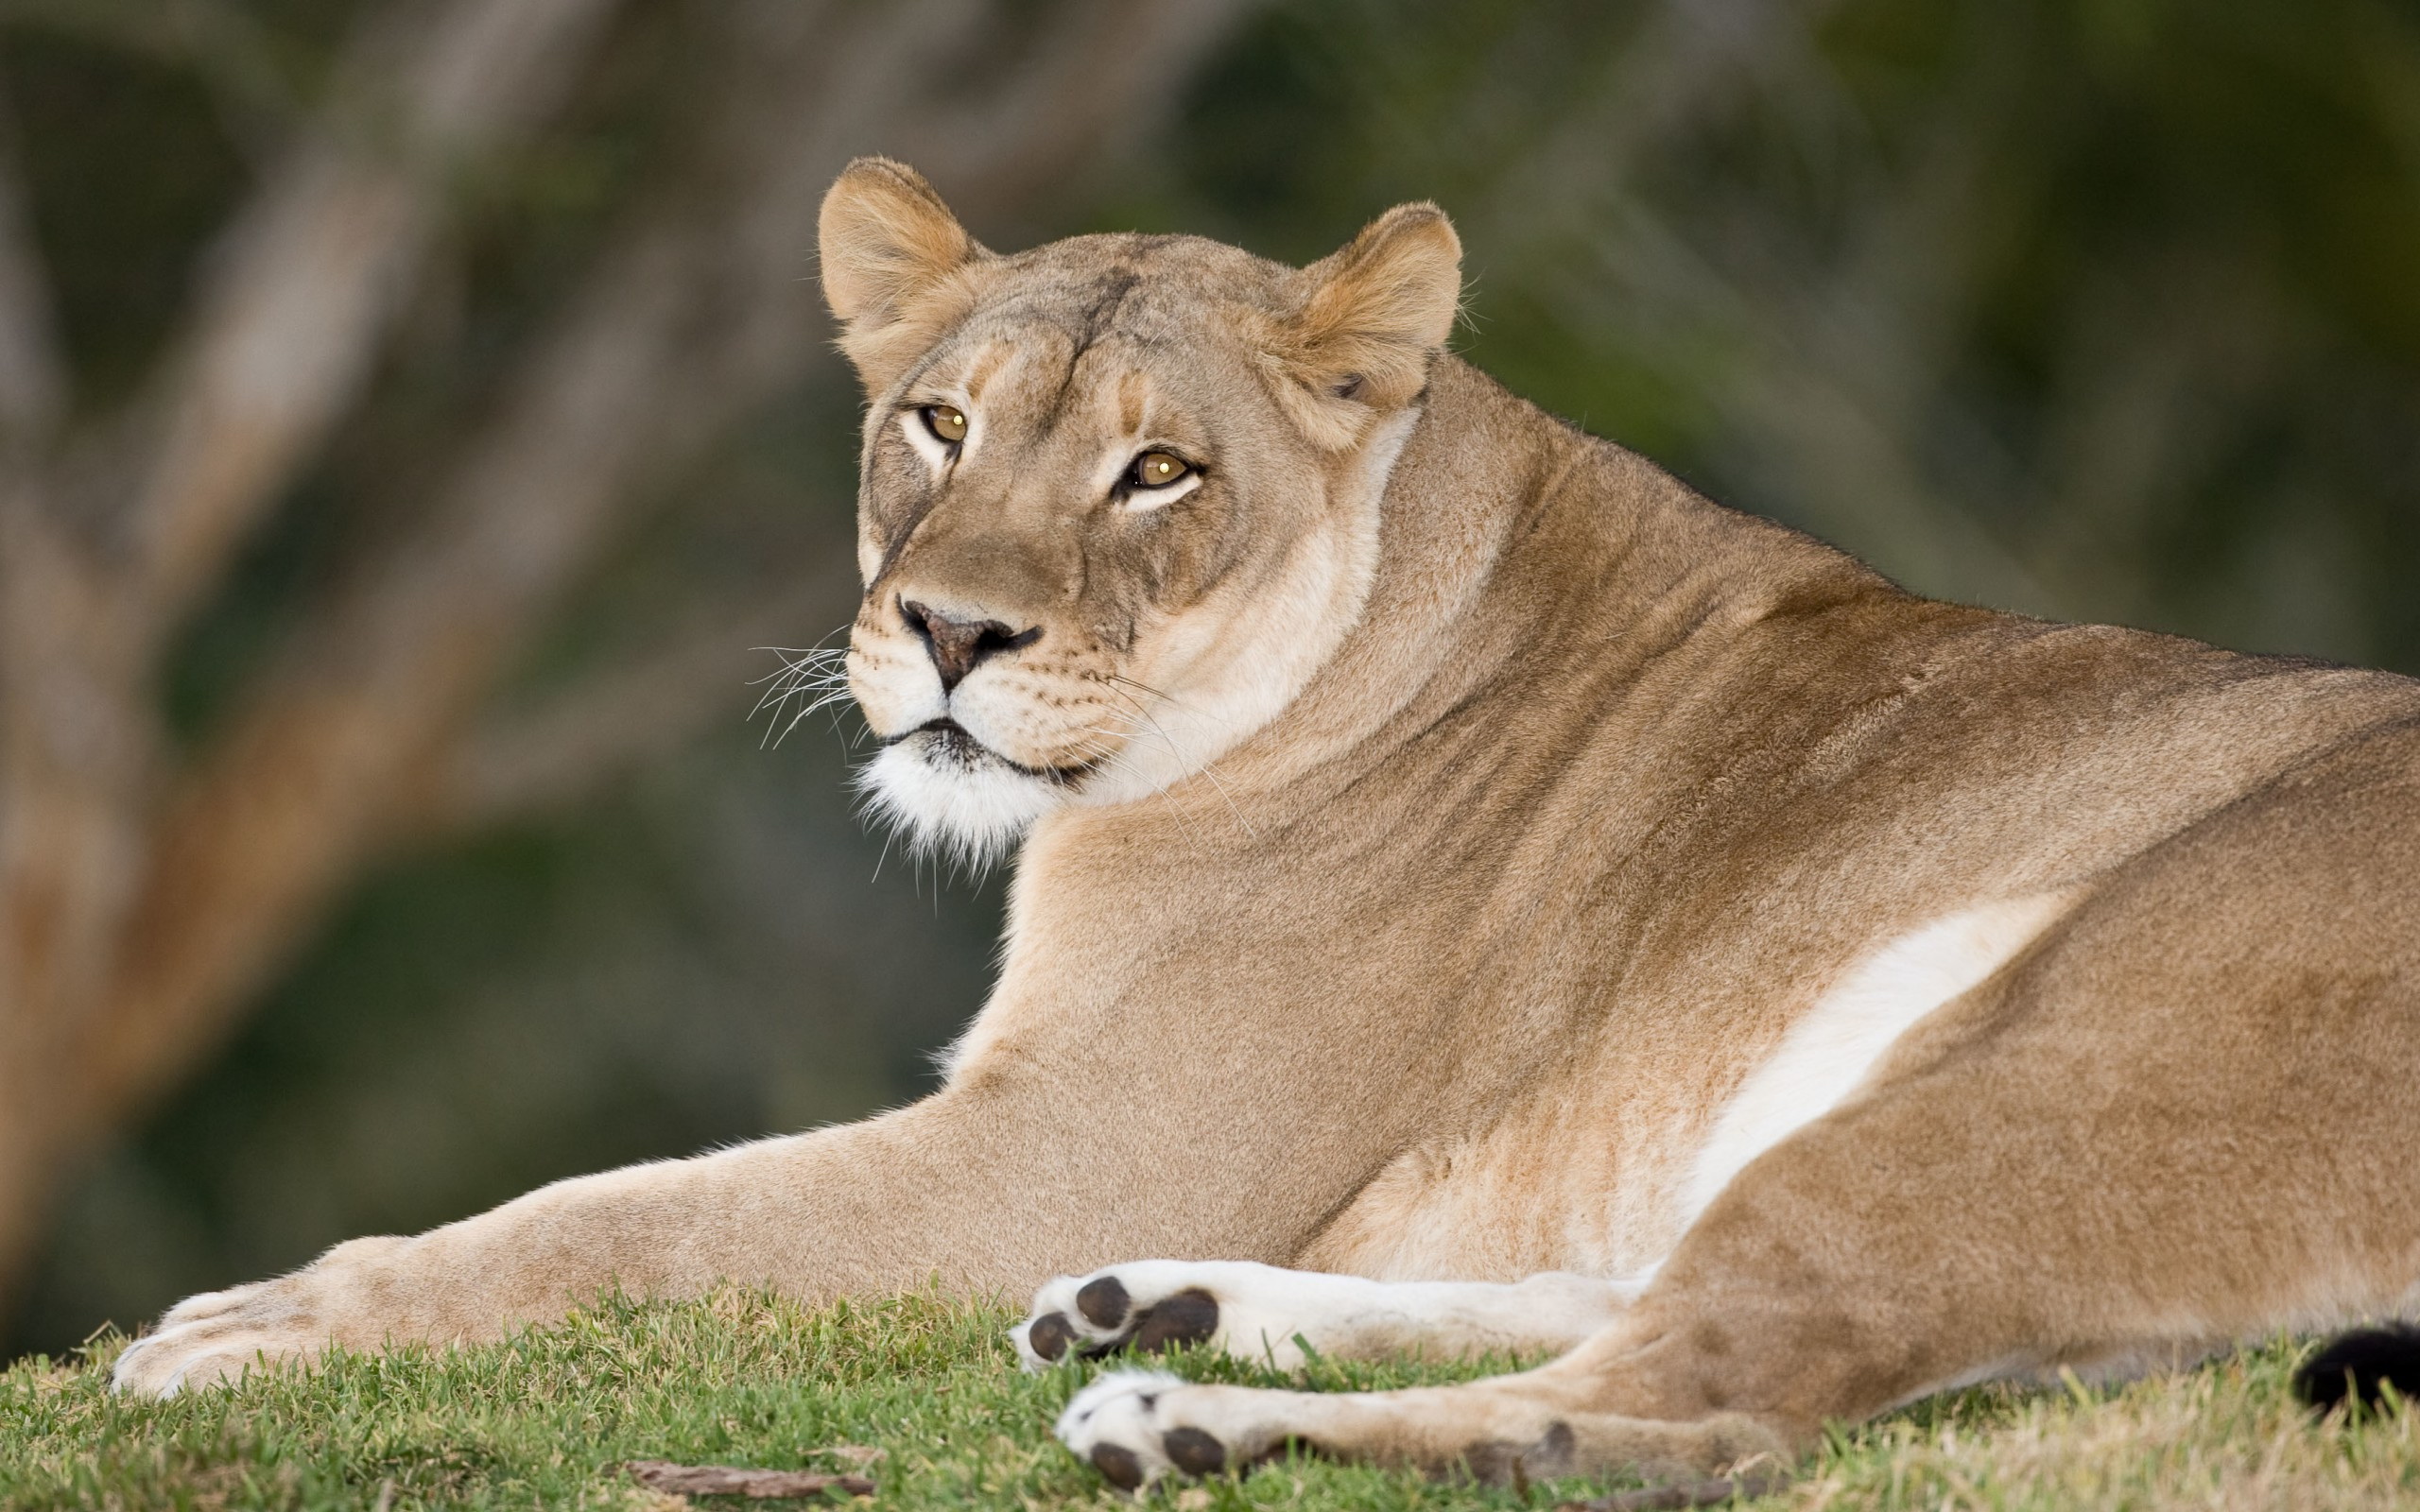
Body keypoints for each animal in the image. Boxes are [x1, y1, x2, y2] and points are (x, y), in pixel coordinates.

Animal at [114, 157, 2420, 1493]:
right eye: (938, 419)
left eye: (1160, 472)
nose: (948, 630)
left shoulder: (1056, 1139)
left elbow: (617, 1220)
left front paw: (255, 1333)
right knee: (1666, 1307)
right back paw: (1160, 1314)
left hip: (2051, 1049)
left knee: (1720, 1403)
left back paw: (1178, 1409)